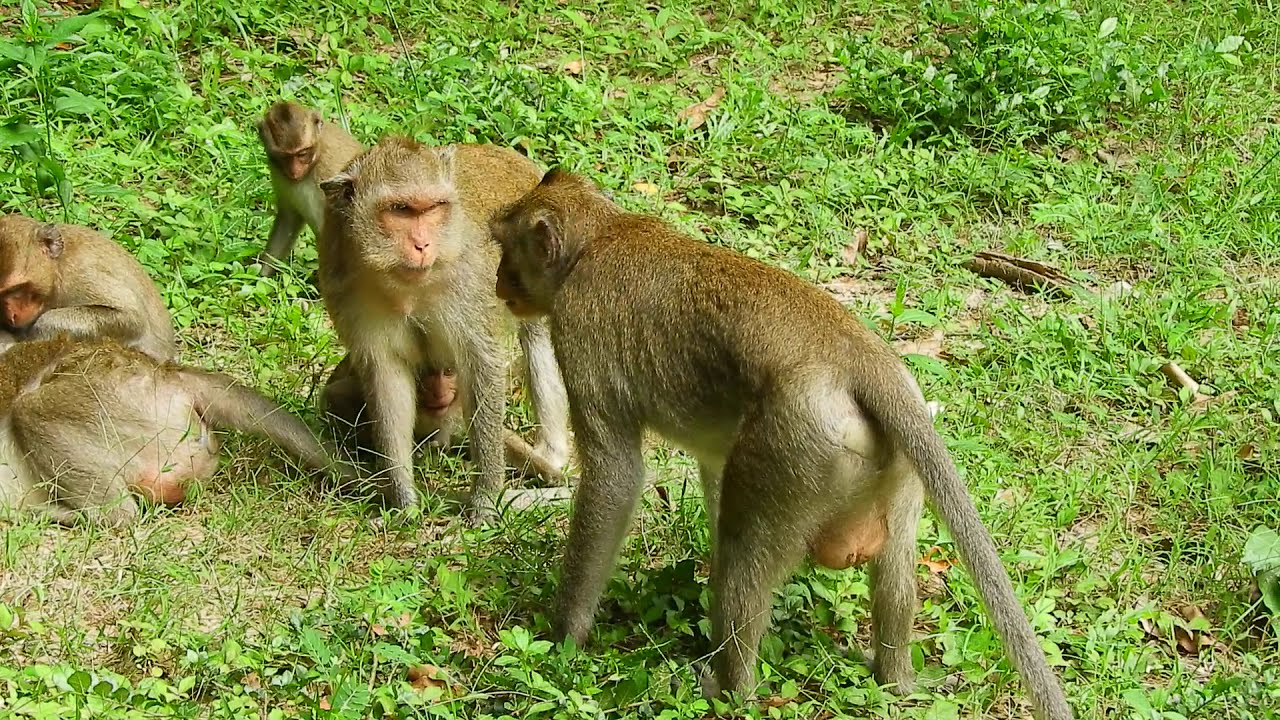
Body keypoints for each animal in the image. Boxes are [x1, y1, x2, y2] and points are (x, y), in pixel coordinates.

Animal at [0, 214, 177, 361]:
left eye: (16, 288)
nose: (11, 315)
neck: (59, 268)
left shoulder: (83, 273)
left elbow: (133, 318)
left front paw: (40, 330)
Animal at [255, 100, 364, 277]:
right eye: (284, 156)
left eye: (302, 153)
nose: (295, 172)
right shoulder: (278, 172)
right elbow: (288, 219)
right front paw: (260, 277)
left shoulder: (330, 171)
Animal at [316, 137, 571, 520]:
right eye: (401, 210)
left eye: (433, 208)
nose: (423, 245)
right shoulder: (344, 283)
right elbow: (386, 374)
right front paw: (404, 500)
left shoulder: (469, 279)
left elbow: (481, 363)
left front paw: (486, 500)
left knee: (537, 340)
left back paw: (552, 453)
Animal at [488, 169, 1074, 720]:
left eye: (504, 247)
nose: (497, 283)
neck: (601, 236)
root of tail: (860, 357)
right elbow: (713, 462)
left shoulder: (577, 328)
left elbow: (616, 475)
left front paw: (563, 636)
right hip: (896, 460)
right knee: (893, 567)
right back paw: (894, 677)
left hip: (795, 444)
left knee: (743, 557)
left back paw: (732, 689)